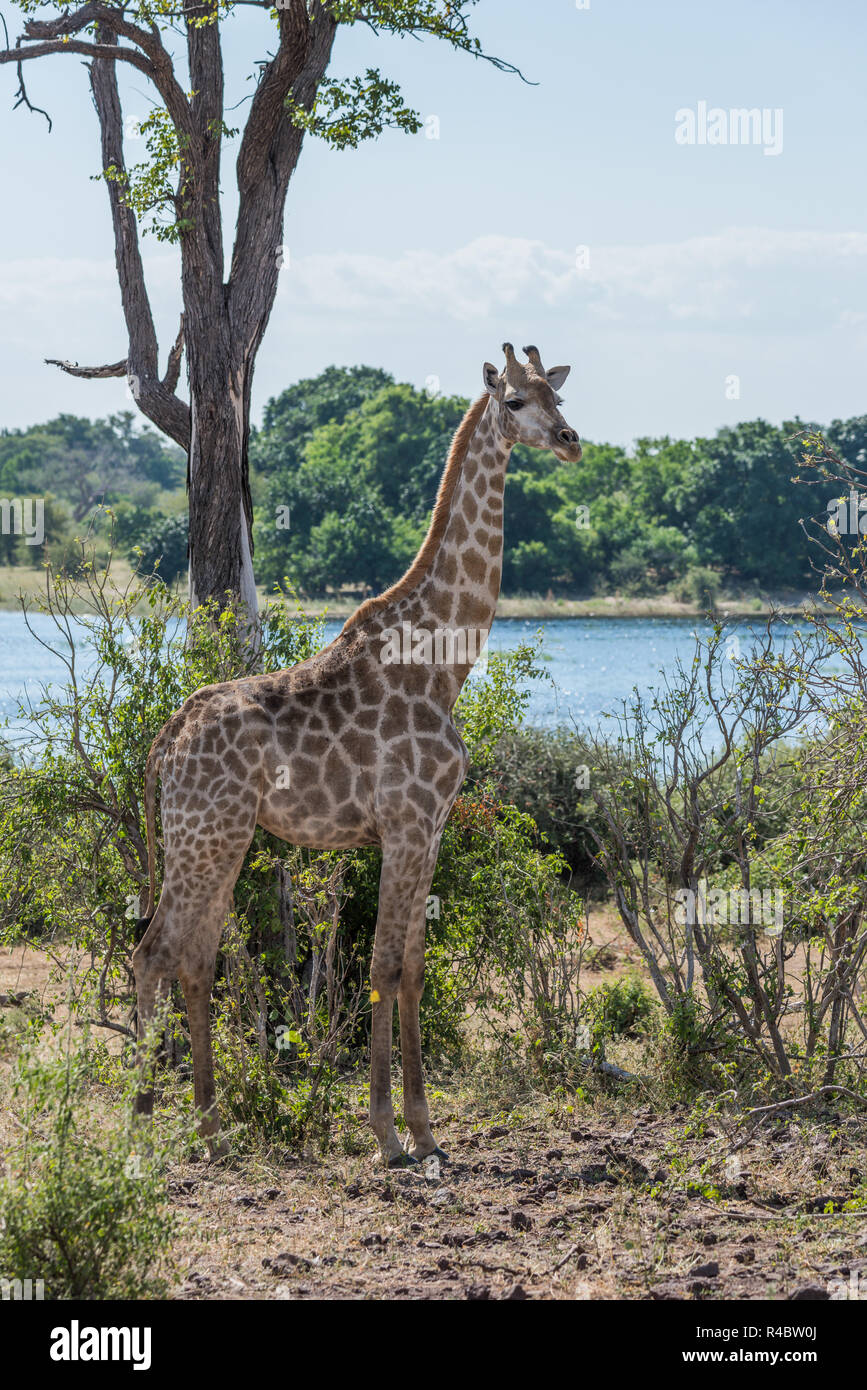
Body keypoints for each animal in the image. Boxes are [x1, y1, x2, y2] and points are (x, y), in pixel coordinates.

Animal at [132, 343, 582, 1166]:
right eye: (513, 401)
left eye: (555, 394)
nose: (570, 440)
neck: (444, 663)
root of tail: (163, 743)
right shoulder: (403, 823)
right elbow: (382, 963)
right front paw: (386, 1133)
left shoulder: (429, 827)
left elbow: (412, 967)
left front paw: (425, 1128)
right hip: (206, 835)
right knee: (155, 951)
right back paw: (146, 1121)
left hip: (219, 837)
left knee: (194, 956)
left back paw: (209, 1125)